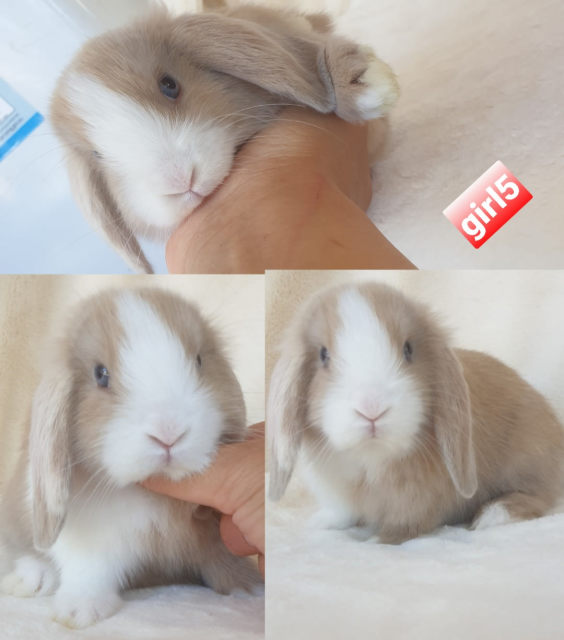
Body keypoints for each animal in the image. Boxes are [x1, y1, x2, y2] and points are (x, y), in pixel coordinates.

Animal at [0, 287, 261, 628]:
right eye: (100, 374)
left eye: (199, 361)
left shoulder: (212, 538)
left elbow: (221, 556)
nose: (169, 433)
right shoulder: (87, 538)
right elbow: (88, 569)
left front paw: (249, 587)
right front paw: (80, 612)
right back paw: (29, 580)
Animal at [267, 281, 564, 544]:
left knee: (539, 497)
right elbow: (343, 511)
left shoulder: (420, 499)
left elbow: (407, 524)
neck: (370, 457)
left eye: (408, 350)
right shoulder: (336, 489)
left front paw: (379, 540)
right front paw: (322, 523)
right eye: (323, 355)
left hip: (529, 462)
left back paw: (492, 516)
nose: (372, 409)